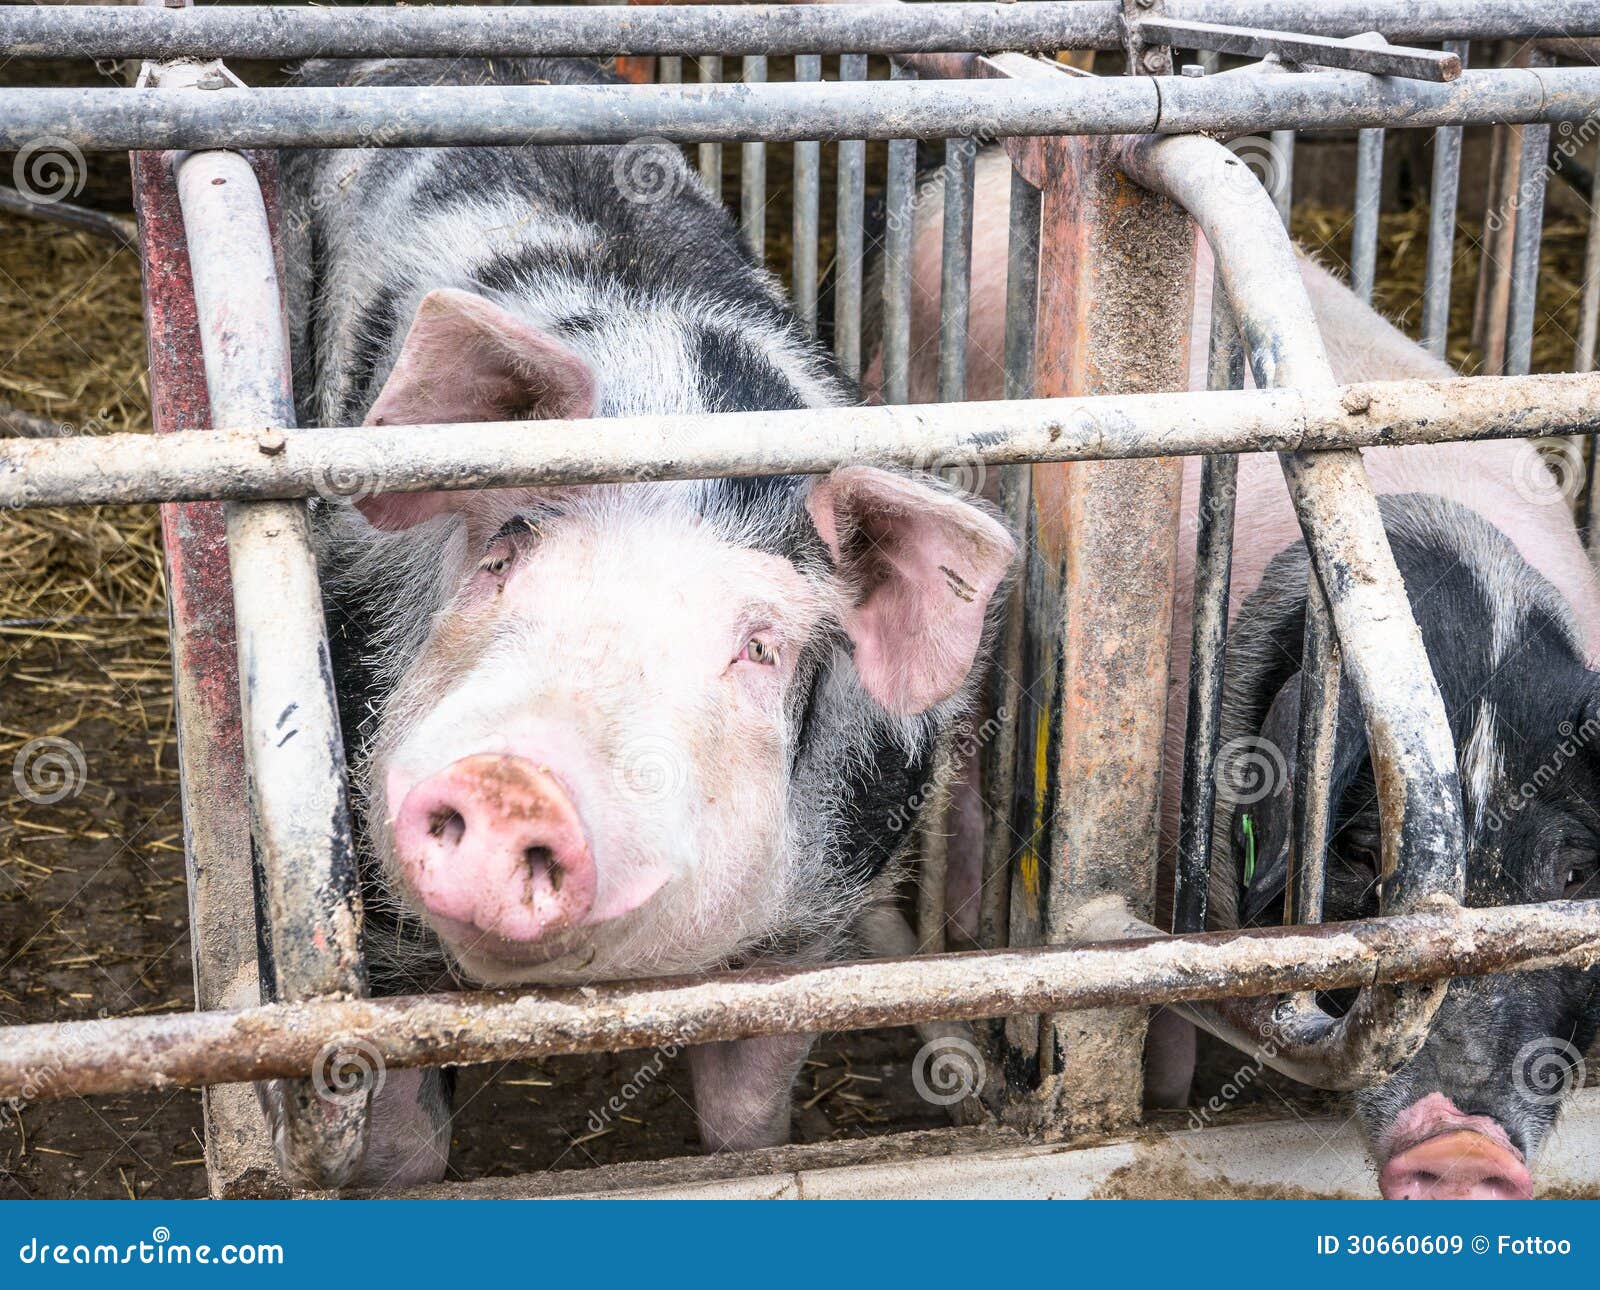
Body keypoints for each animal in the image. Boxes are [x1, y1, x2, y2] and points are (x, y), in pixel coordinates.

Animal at [277, 58, 1015, 1189]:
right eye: (502, 560)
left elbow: (746, 1111)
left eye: (760, 646)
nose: (512, 778)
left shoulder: (813, 926)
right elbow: (404, 1137)